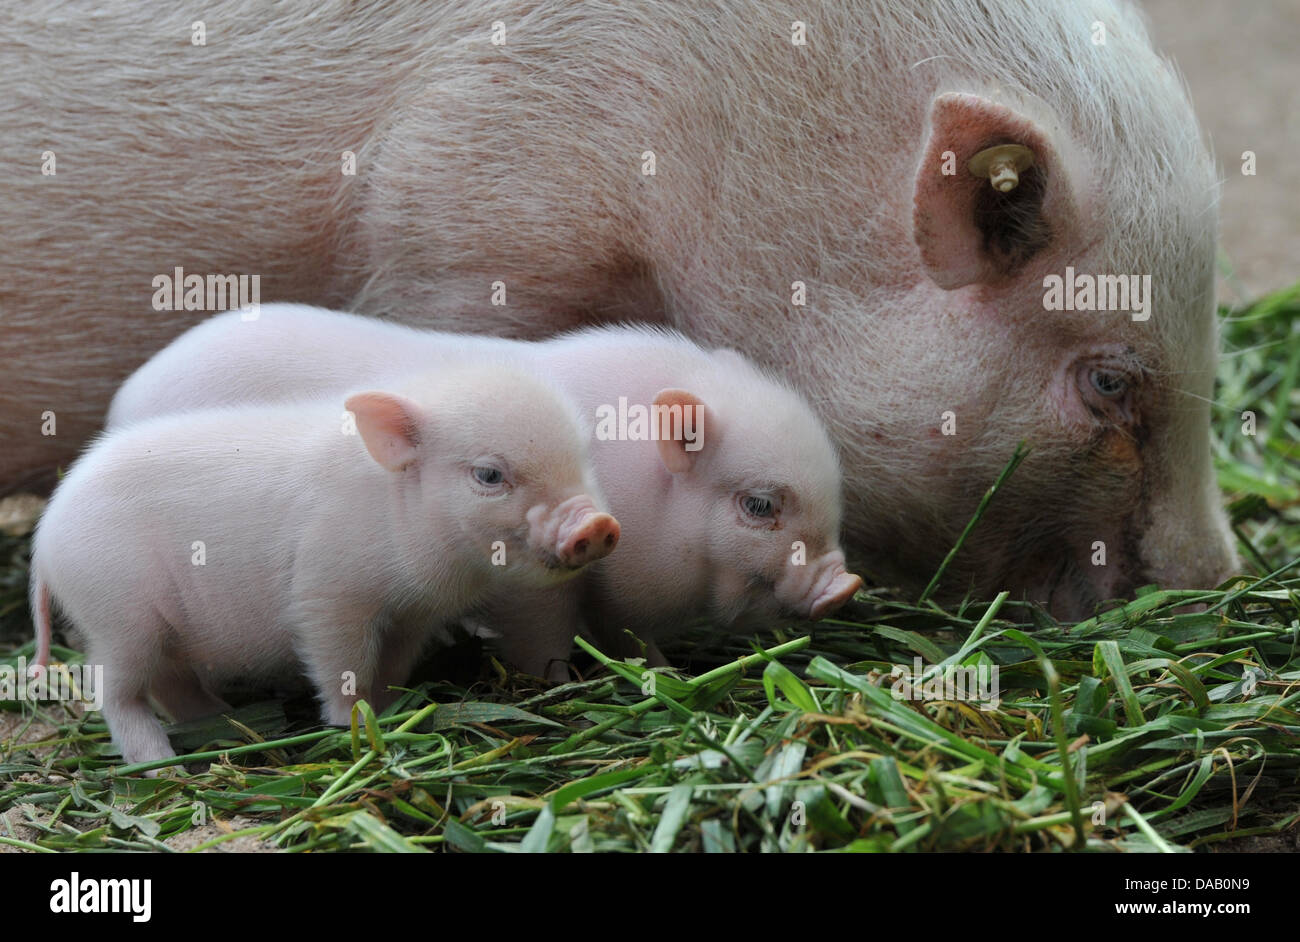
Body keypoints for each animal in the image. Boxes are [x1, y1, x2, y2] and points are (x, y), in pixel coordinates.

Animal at [29, 363, 620, 763]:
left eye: (581, 457)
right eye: (489, 475)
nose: (597, 525)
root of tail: (45, 537)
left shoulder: (415, 614)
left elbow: (395, 664)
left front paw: (391, 709)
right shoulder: (327, 592)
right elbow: (339, 661)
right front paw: (350, 725)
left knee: (170, 684)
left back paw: (222, 720)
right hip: (119, 614)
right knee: (110, 689)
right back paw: (163, 763)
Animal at [109, 304, 863, 674]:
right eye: (760, 505)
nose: (846, 583)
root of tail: (127, 397)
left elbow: (631, 640)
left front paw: (666, 675)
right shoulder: (527, 587)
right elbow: (543, 641)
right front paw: (560, 686)